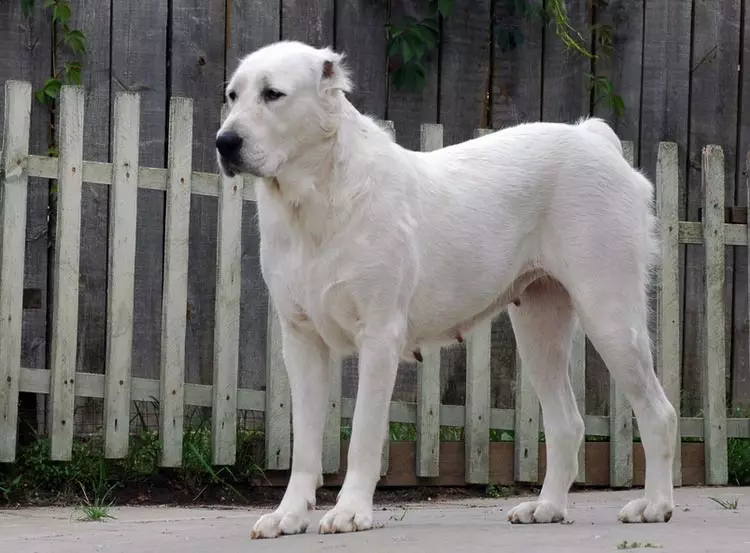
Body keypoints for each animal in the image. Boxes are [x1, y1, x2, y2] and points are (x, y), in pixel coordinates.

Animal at [217, 40, 680, 540]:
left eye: (273, 95)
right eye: (232, 96)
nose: (224, 143)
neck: (316, 196)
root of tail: (593, 137)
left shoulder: (379, 338)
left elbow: (362, 435)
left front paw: (350, 511)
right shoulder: (301, 341)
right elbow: (303, 443)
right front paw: (289, 514)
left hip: (610, 317)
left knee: (658, 412)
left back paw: (655, 505)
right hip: (539, 330)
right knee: (567, 425)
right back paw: (547, 508)